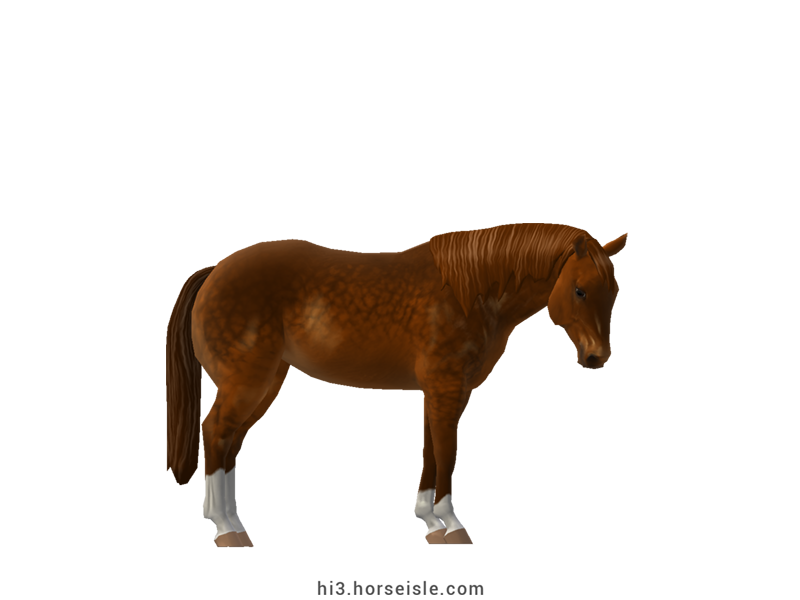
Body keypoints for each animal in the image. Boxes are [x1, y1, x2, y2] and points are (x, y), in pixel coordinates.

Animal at [167, 223, 622, 540]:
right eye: (580, 290)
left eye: (612, 291)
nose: (596, 356)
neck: (469, 293)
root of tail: (215, 273)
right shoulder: (446, 385)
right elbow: (447, 451)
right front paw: (451, 520)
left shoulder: (441, 390)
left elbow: (431, 450)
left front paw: (427, 517)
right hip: (244, 382)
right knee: (214, 434)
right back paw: (223, 526)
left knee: (224, 440)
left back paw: (226, 518)